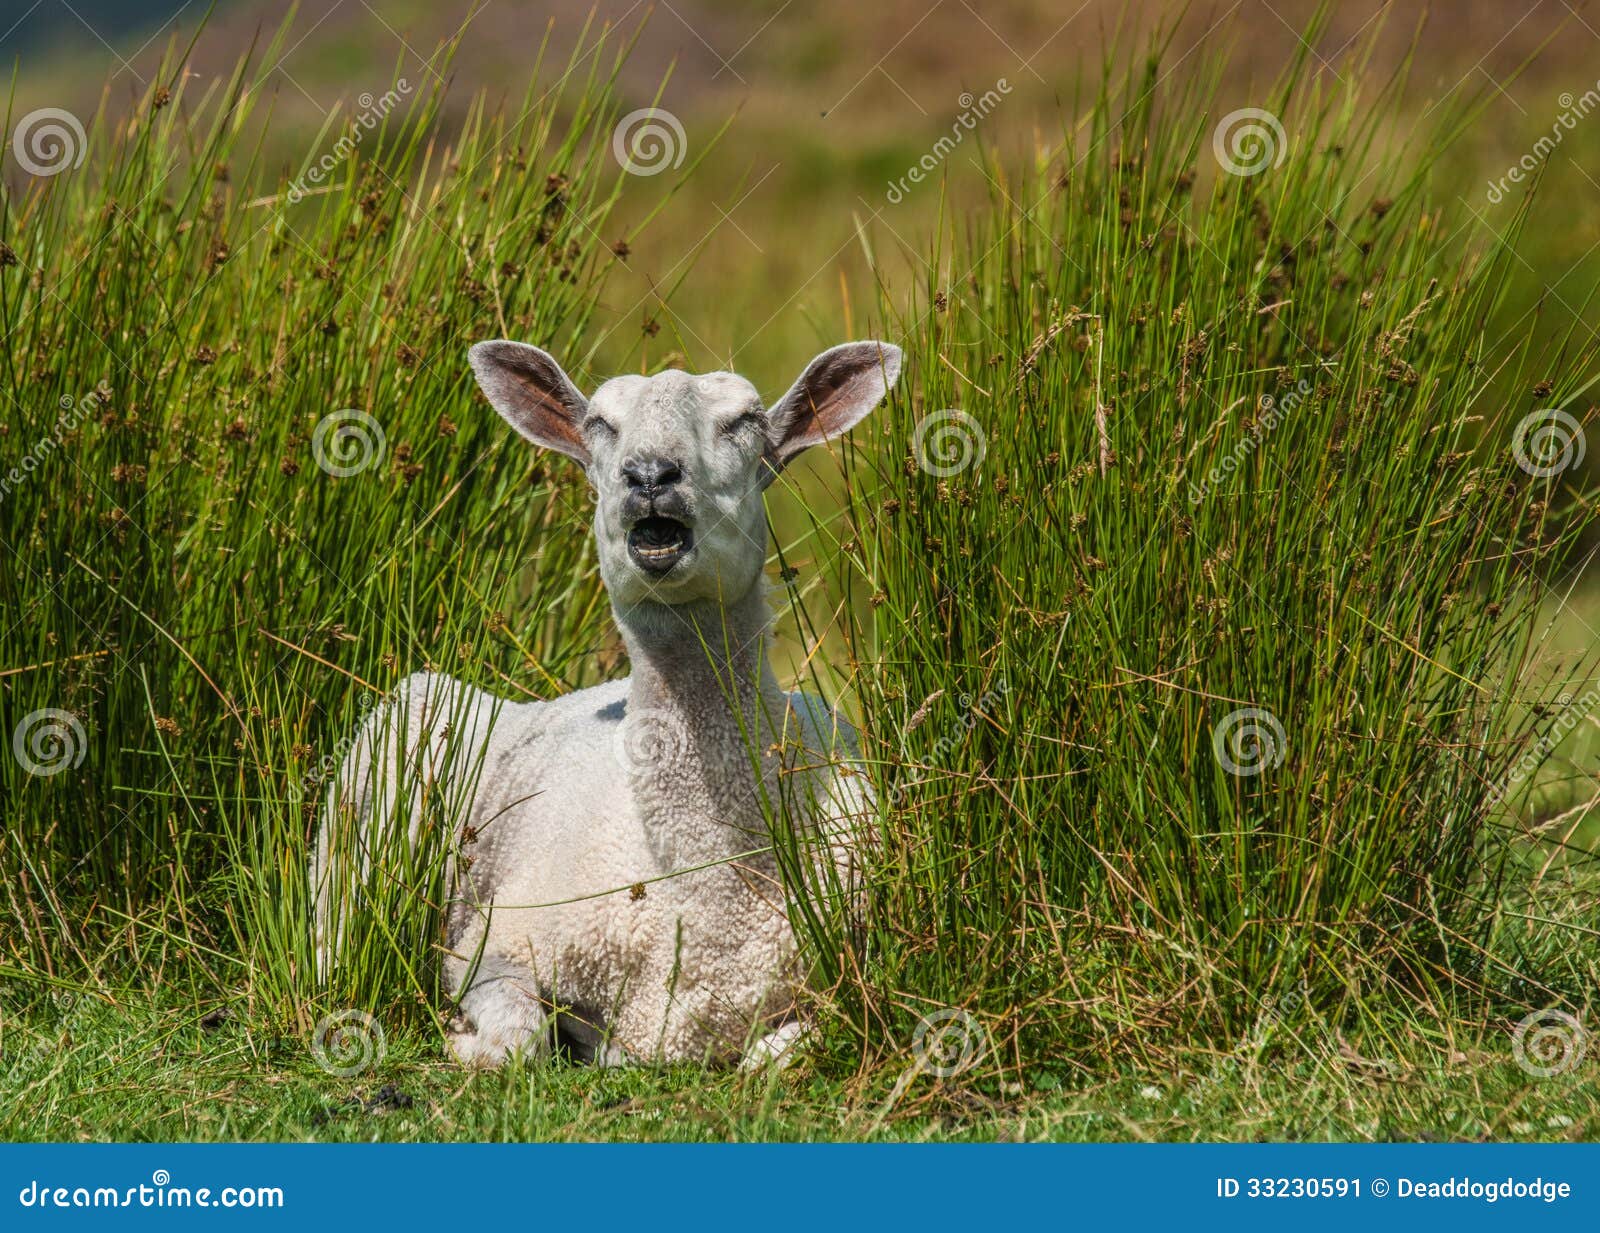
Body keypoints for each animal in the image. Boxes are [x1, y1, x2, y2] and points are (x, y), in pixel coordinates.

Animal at [312, 339, 902, 1068]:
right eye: (599, 423)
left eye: (745, 421)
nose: (649, 475)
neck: (707, 894)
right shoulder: (492, 944)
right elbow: (522, 1039)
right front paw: (465, 1040)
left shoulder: (848, 974)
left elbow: (786, 1053)